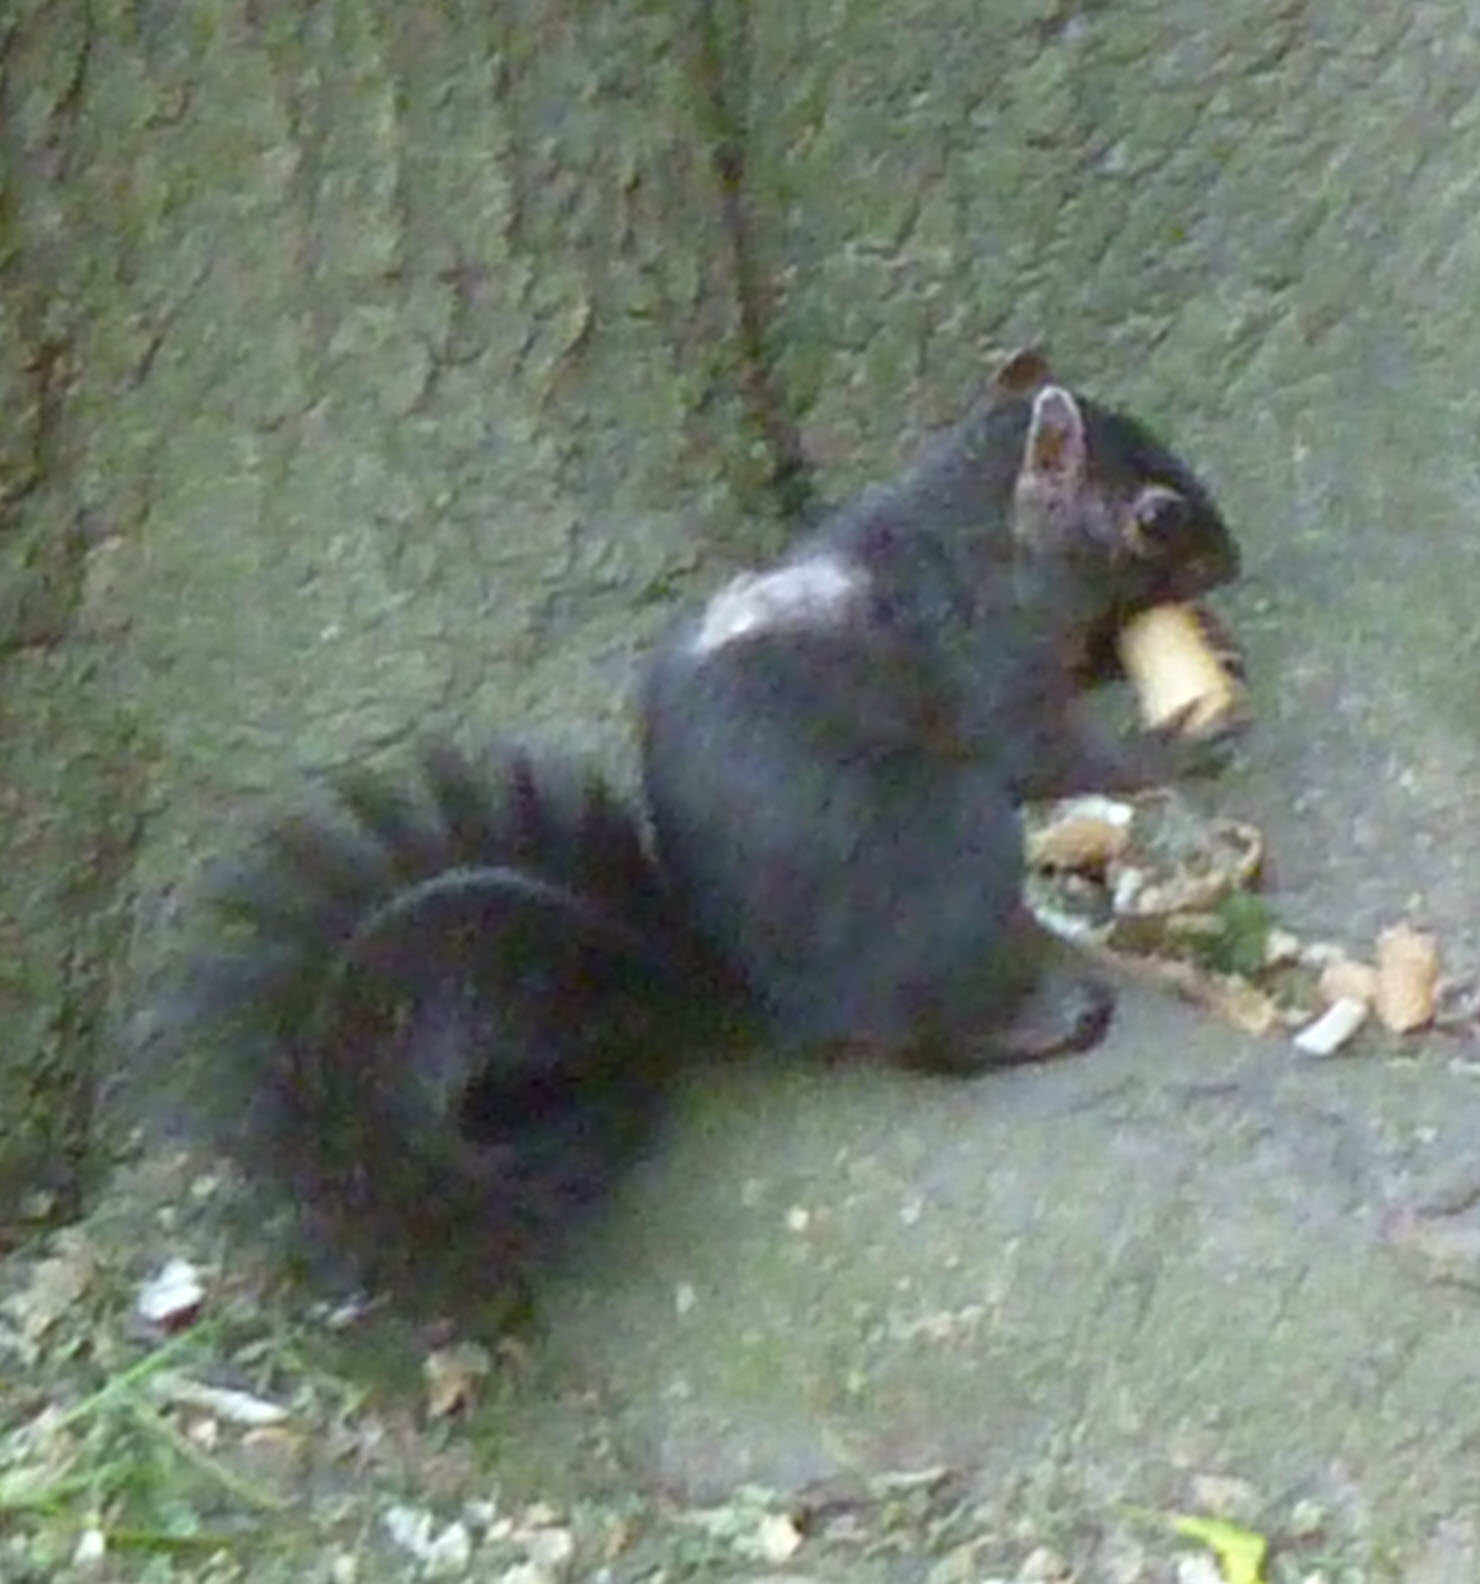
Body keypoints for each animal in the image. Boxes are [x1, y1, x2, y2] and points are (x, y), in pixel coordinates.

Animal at [175, 350, 1240, 1305]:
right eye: (1154, 513)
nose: (1230, 563)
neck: (984, 533)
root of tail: (768, 997)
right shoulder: (981, 662)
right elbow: (1047, 755)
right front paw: (1173, 747)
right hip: (951, 852)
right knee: (928, 1038)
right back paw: (1040, 1022)